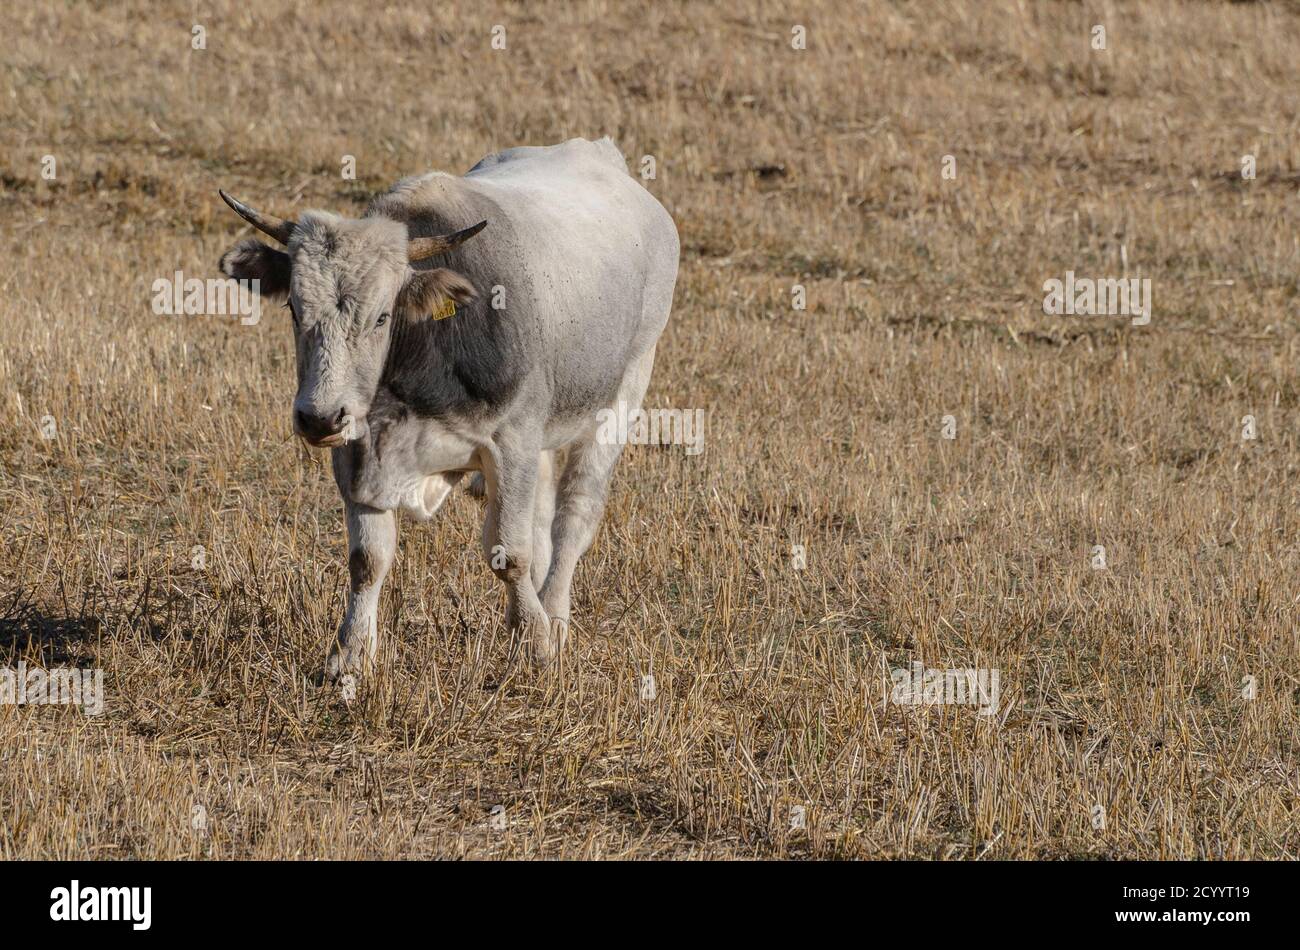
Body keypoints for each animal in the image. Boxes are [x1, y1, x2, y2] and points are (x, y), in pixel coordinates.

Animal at [217, 137, 679, 678]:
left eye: (382, 317)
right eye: (293, 307)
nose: (319, 417)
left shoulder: (511, 444)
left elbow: (509, 553)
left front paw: (535, 642)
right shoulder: (356, 451)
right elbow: (368, 558)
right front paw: (350, 655)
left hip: (624, 393)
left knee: (573, 518)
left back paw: (556, 617)